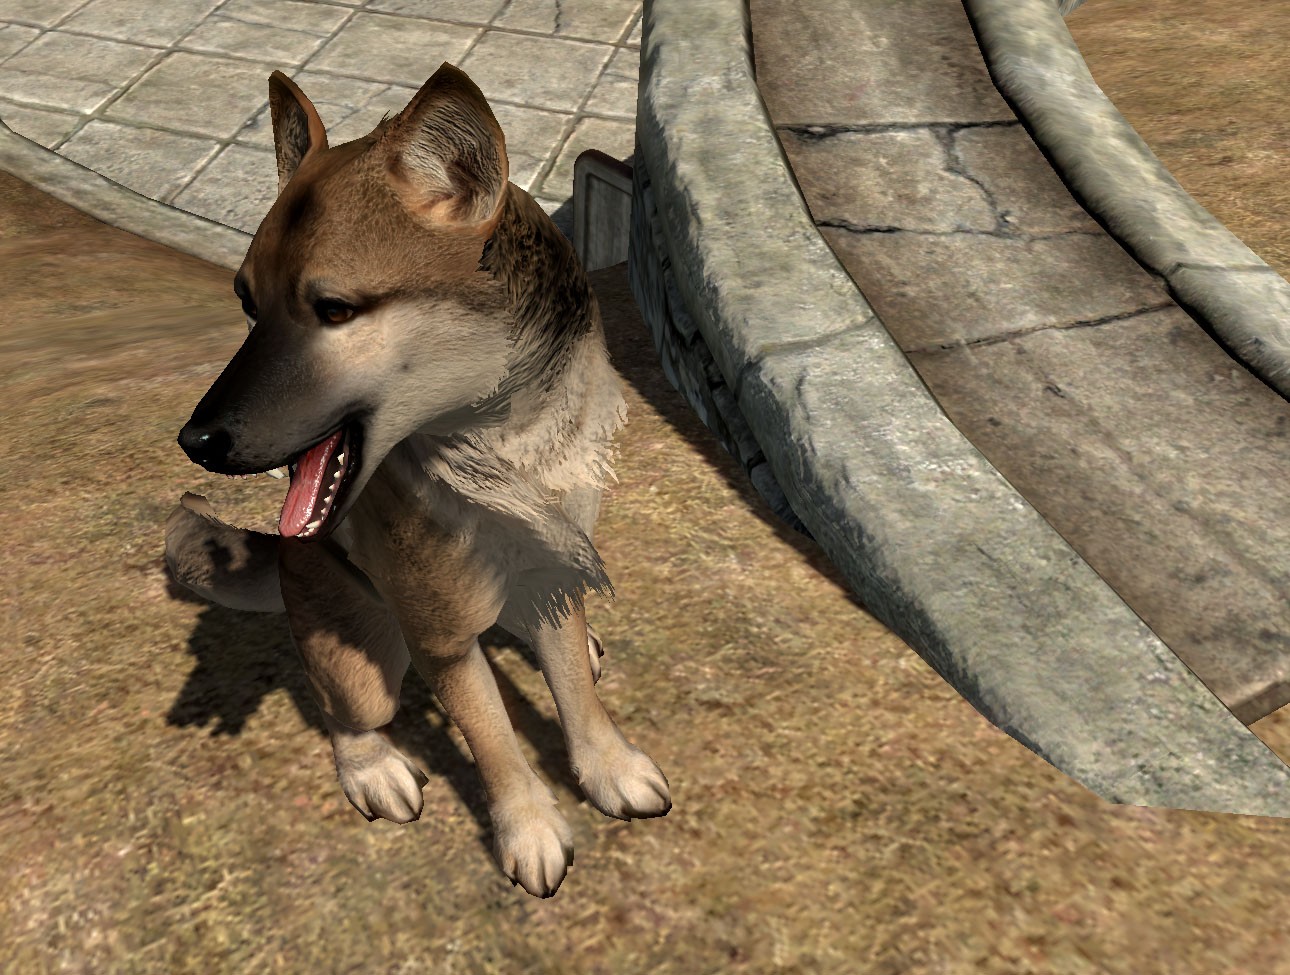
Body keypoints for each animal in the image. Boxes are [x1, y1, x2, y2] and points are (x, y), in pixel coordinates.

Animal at [164, 63, 670, 898]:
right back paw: (373, 768)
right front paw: (529, 826)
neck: (504, 441)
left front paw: (609, 764)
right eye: (246, 304)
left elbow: (573, 686)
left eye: (334, 309)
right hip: (362, 647)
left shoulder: (552, 569)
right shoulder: (442, 641)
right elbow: (492, 735)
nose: (194, 440)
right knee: (345, 709)